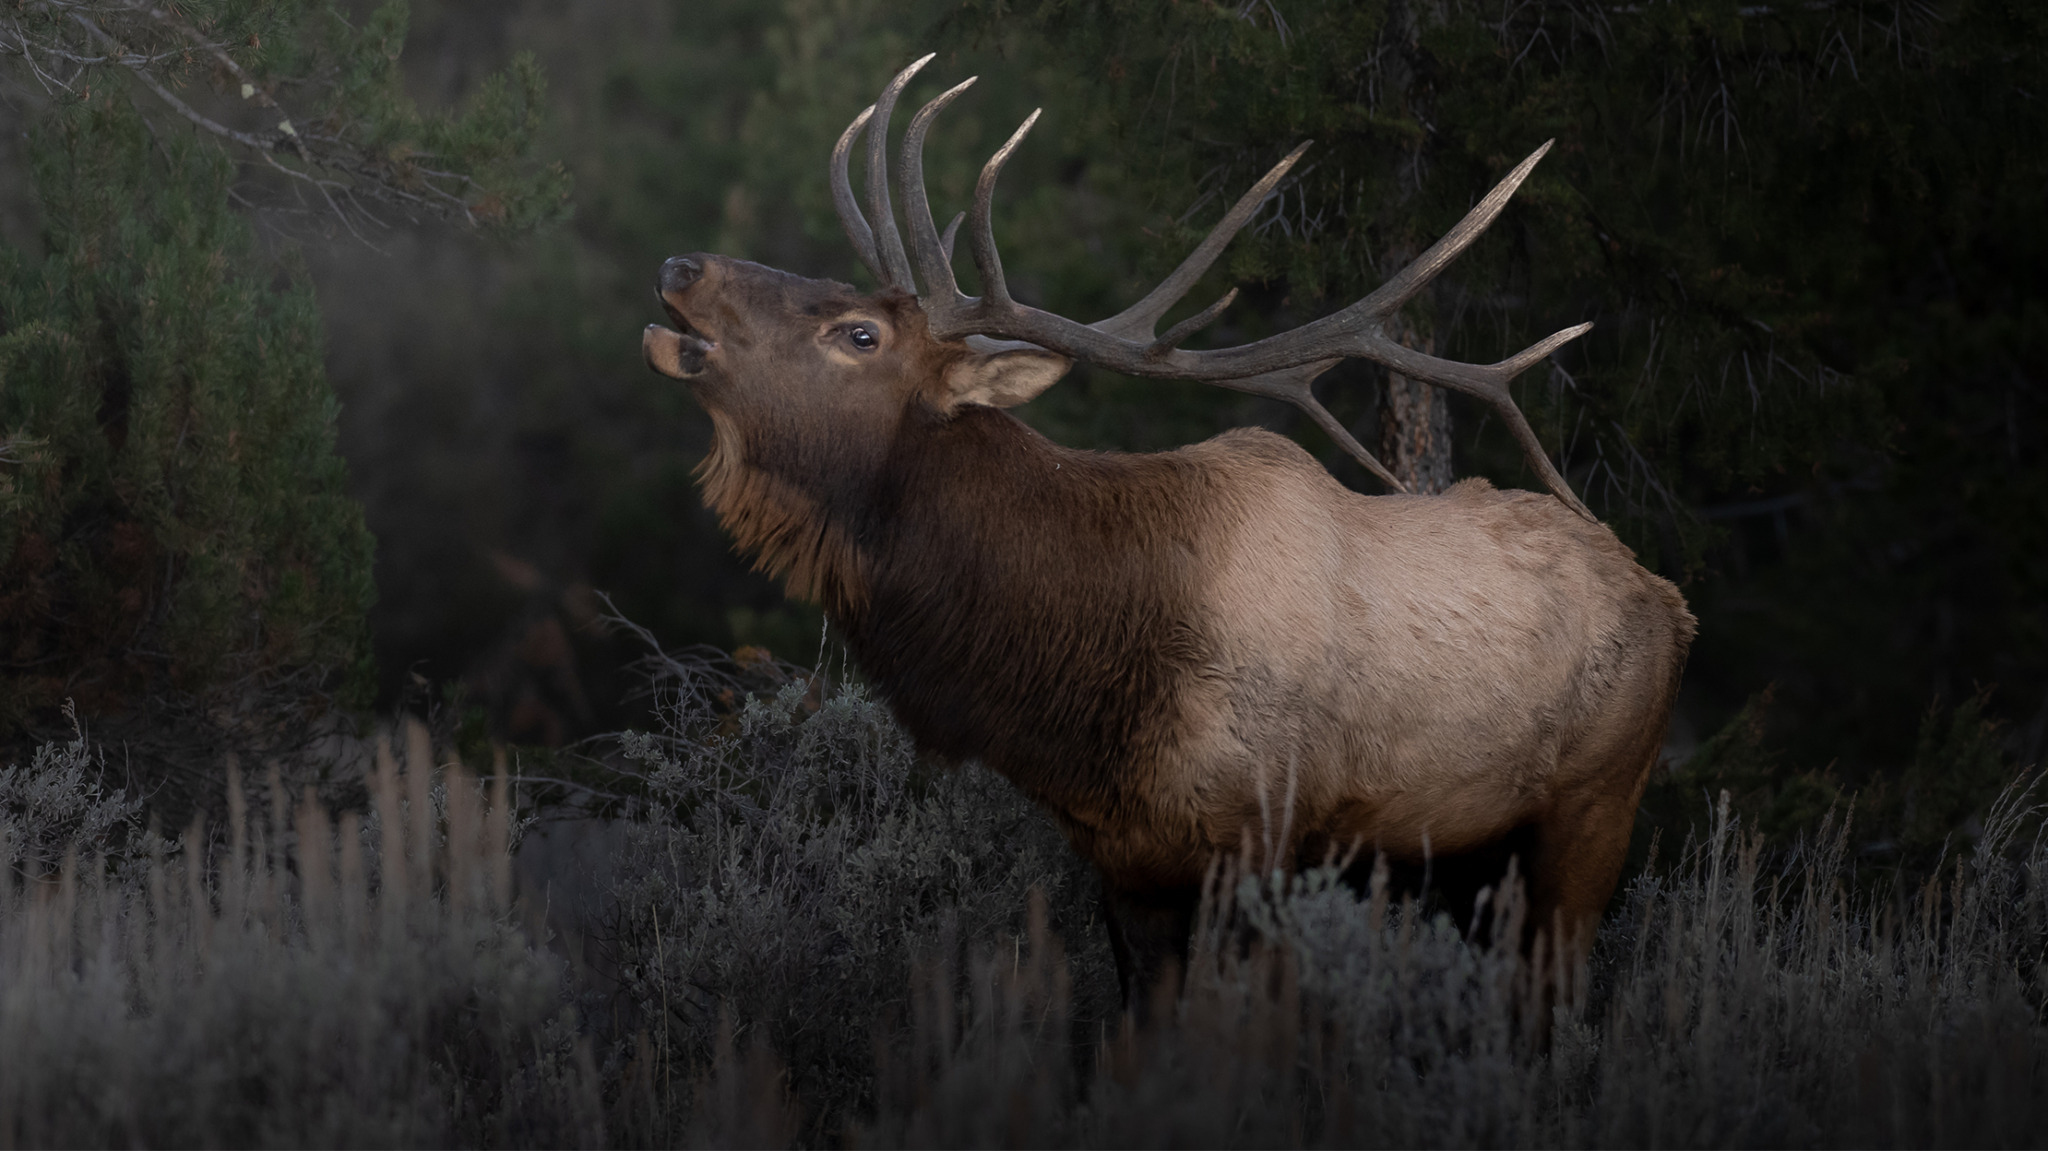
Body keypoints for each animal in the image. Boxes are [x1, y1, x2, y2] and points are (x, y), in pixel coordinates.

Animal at [642, 55, 1696, 1003]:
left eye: (859, 335)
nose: (680, 266)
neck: (1086, 687)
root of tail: (1673, 602)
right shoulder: (1125, 866)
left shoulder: (1265, 841)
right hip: (1469, 857)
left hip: (1595, 807)